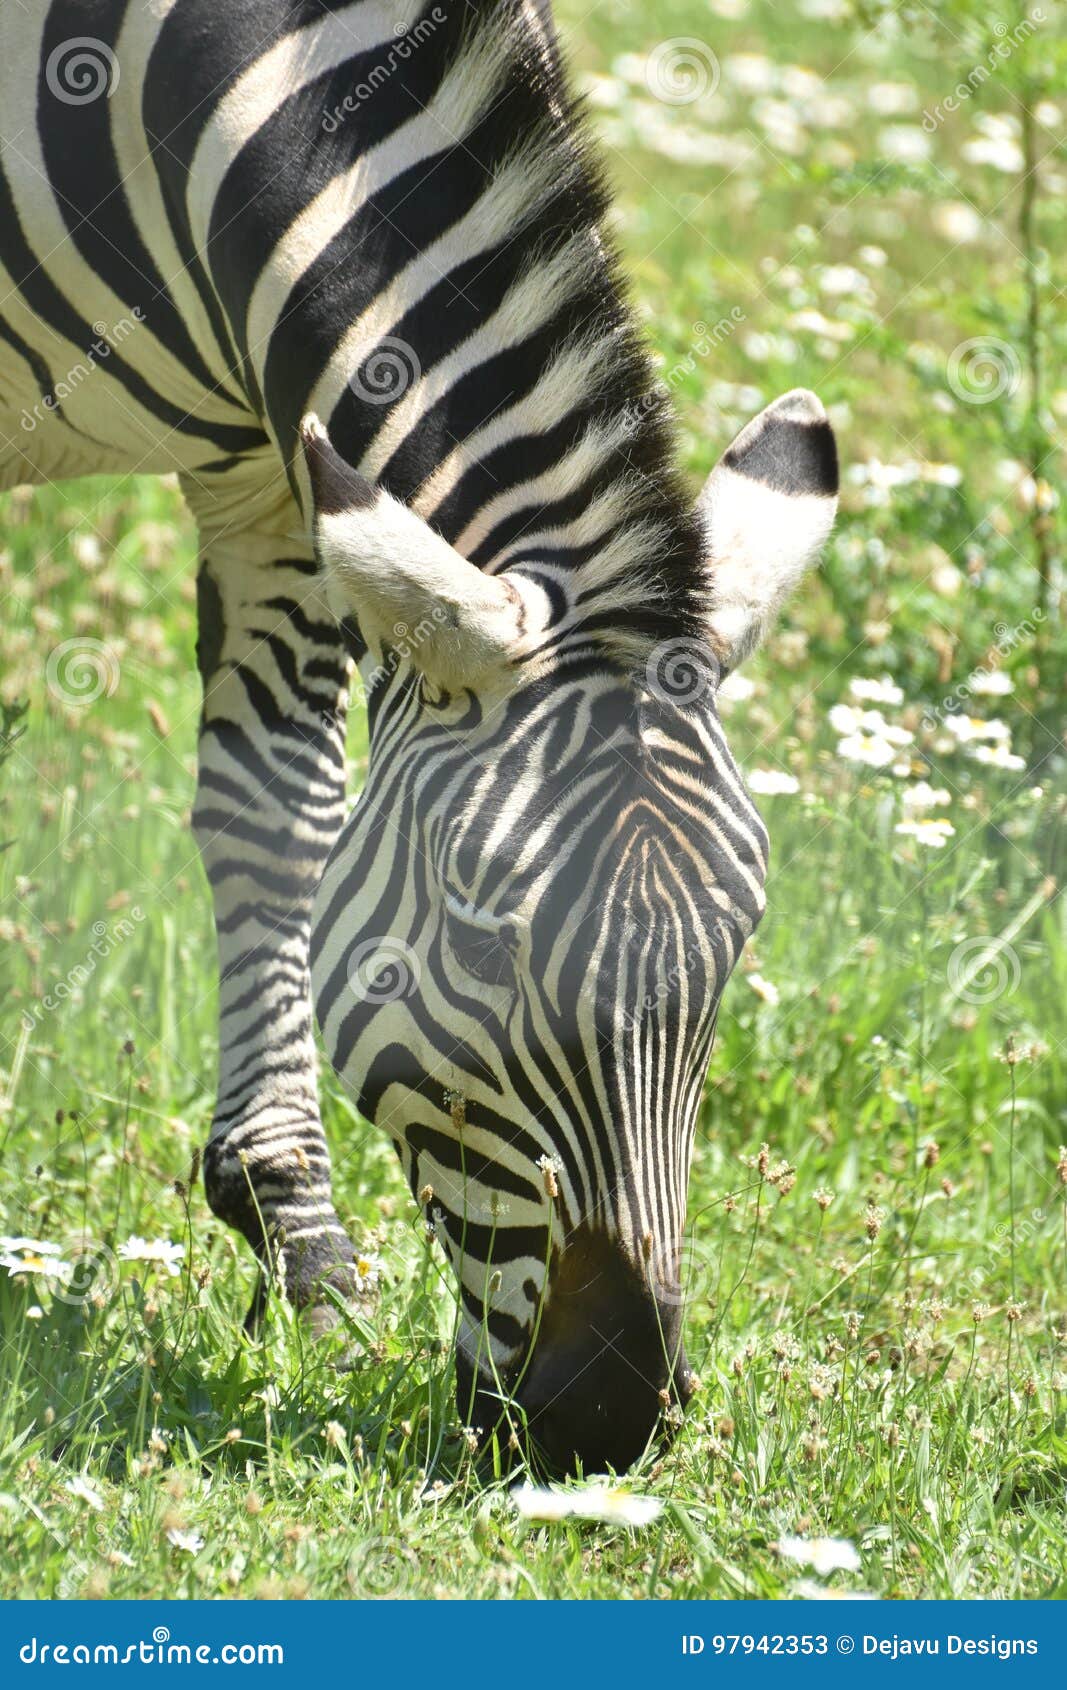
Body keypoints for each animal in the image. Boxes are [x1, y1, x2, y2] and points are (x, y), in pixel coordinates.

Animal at [1, 0, 837, 1472]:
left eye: (735, 945)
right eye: (481, 932)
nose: (606, 1419)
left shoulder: (267, 445)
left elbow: (276, 813)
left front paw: (299, 1243)